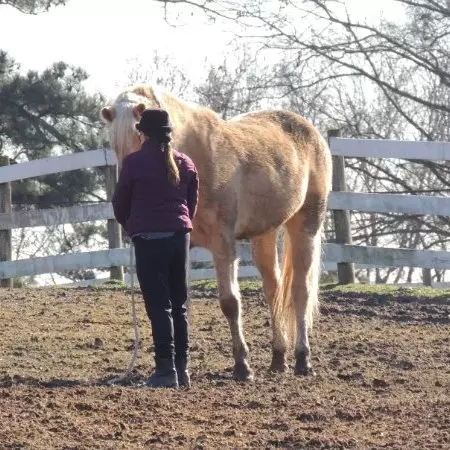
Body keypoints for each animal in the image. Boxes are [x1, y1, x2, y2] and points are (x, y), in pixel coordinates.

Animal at [103, 83, 334, 380]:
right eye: (112, 142)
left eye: (138, 135)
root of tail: (310, 130)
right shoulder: (183, 246)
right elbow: (180, 304)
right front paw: (181, 369)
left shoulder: (223, 244)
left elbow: (230, 302)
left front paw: (242, 366)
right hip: (265, 233)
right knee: (274, 289)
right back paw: (278, 358)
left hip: (306, 224)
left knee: (300, 291)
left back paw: (303, 360)